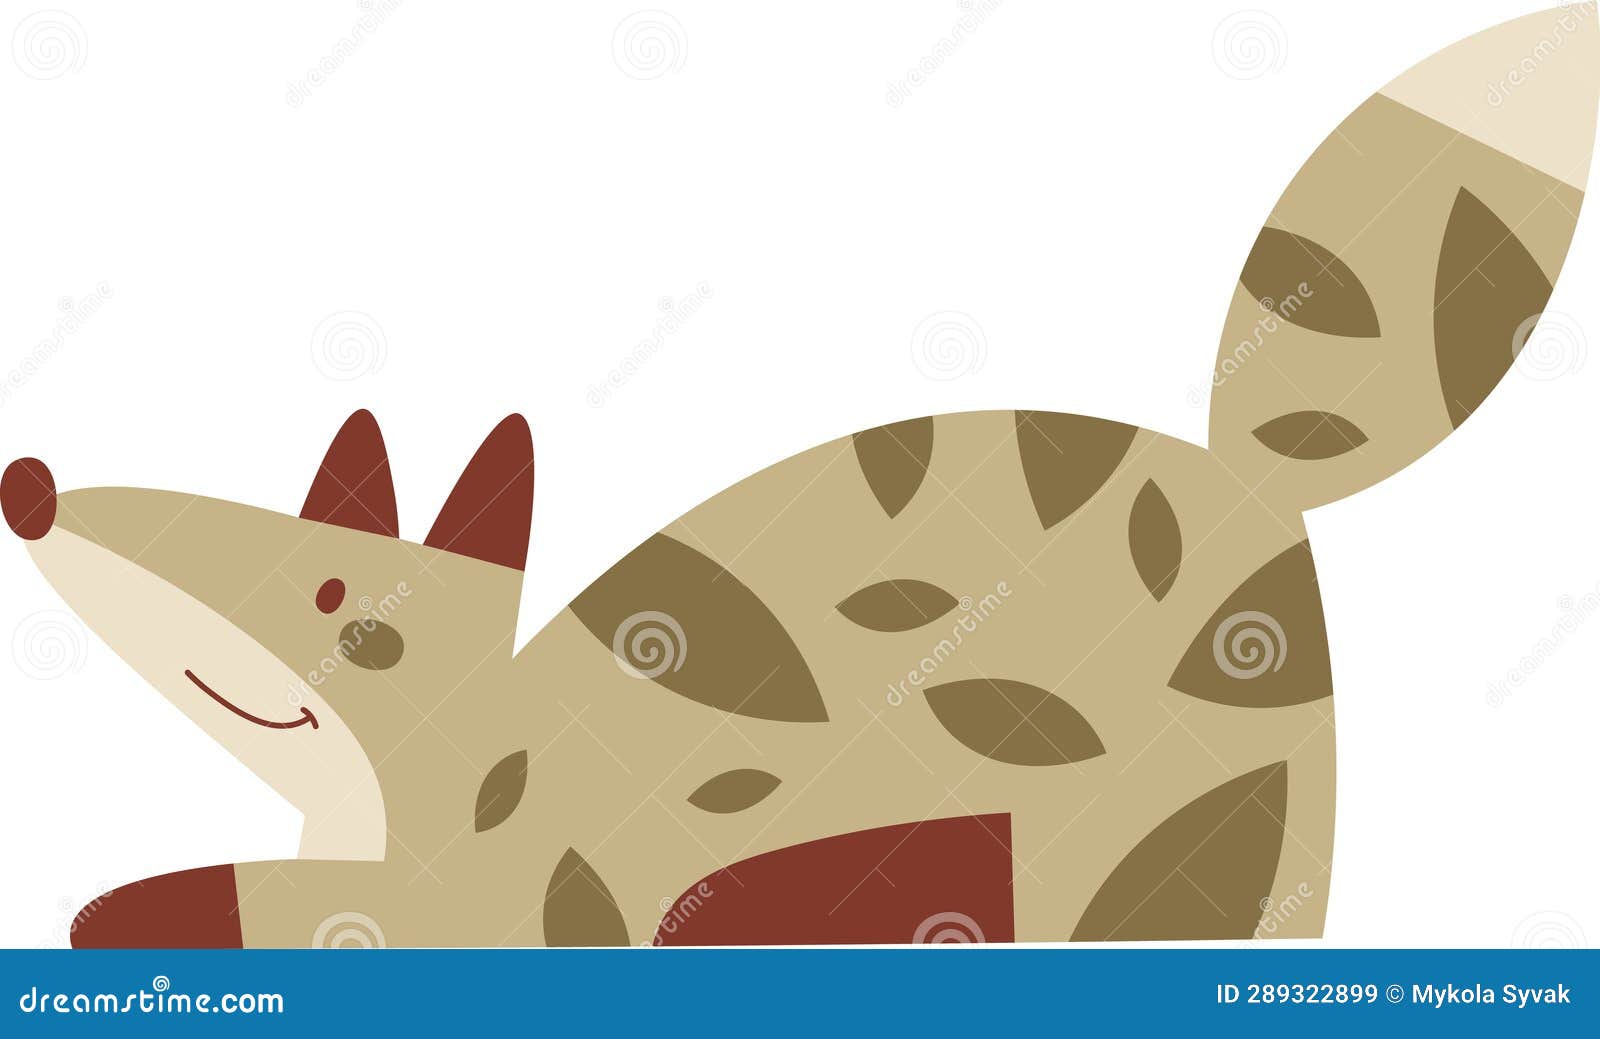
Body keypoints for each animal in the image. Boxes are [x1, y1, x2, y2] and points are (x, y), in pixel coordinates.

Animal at [4, 6, 1599, 948]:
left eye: (333, 588)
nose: (30, 485)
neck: (418, 770)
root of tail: (1254, 476)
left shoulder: (494, 892)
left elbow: (318, 911)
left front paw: (134, 907)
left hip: (1183, 825)